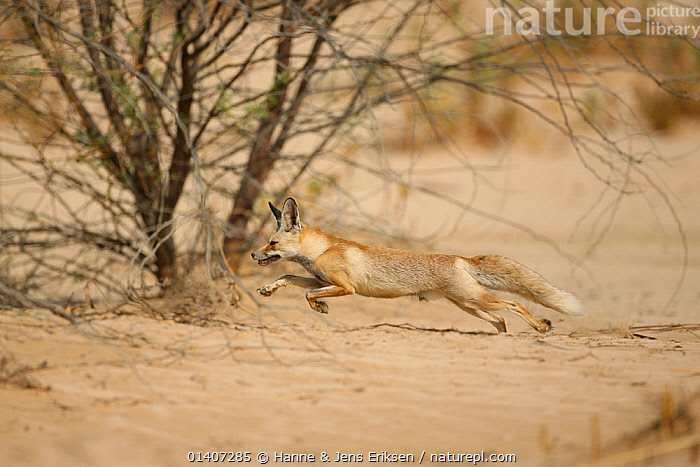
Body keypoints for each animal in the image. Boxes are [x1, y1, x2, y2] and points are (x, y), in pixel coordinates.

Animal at [251, 198, 583, 333]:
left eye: (272, 243)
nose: (254, 255)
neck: (322, 250)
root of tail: (458, 258)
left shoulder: (345, 287)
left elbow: (307, 294)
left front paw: (321, 308)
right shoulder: (321, 280)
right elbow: (289, 276)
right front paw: (268, 289)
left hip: (473, 299)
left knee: (514, 306)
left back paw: (541, 326)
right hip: (468, 305)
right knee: (500, 319)